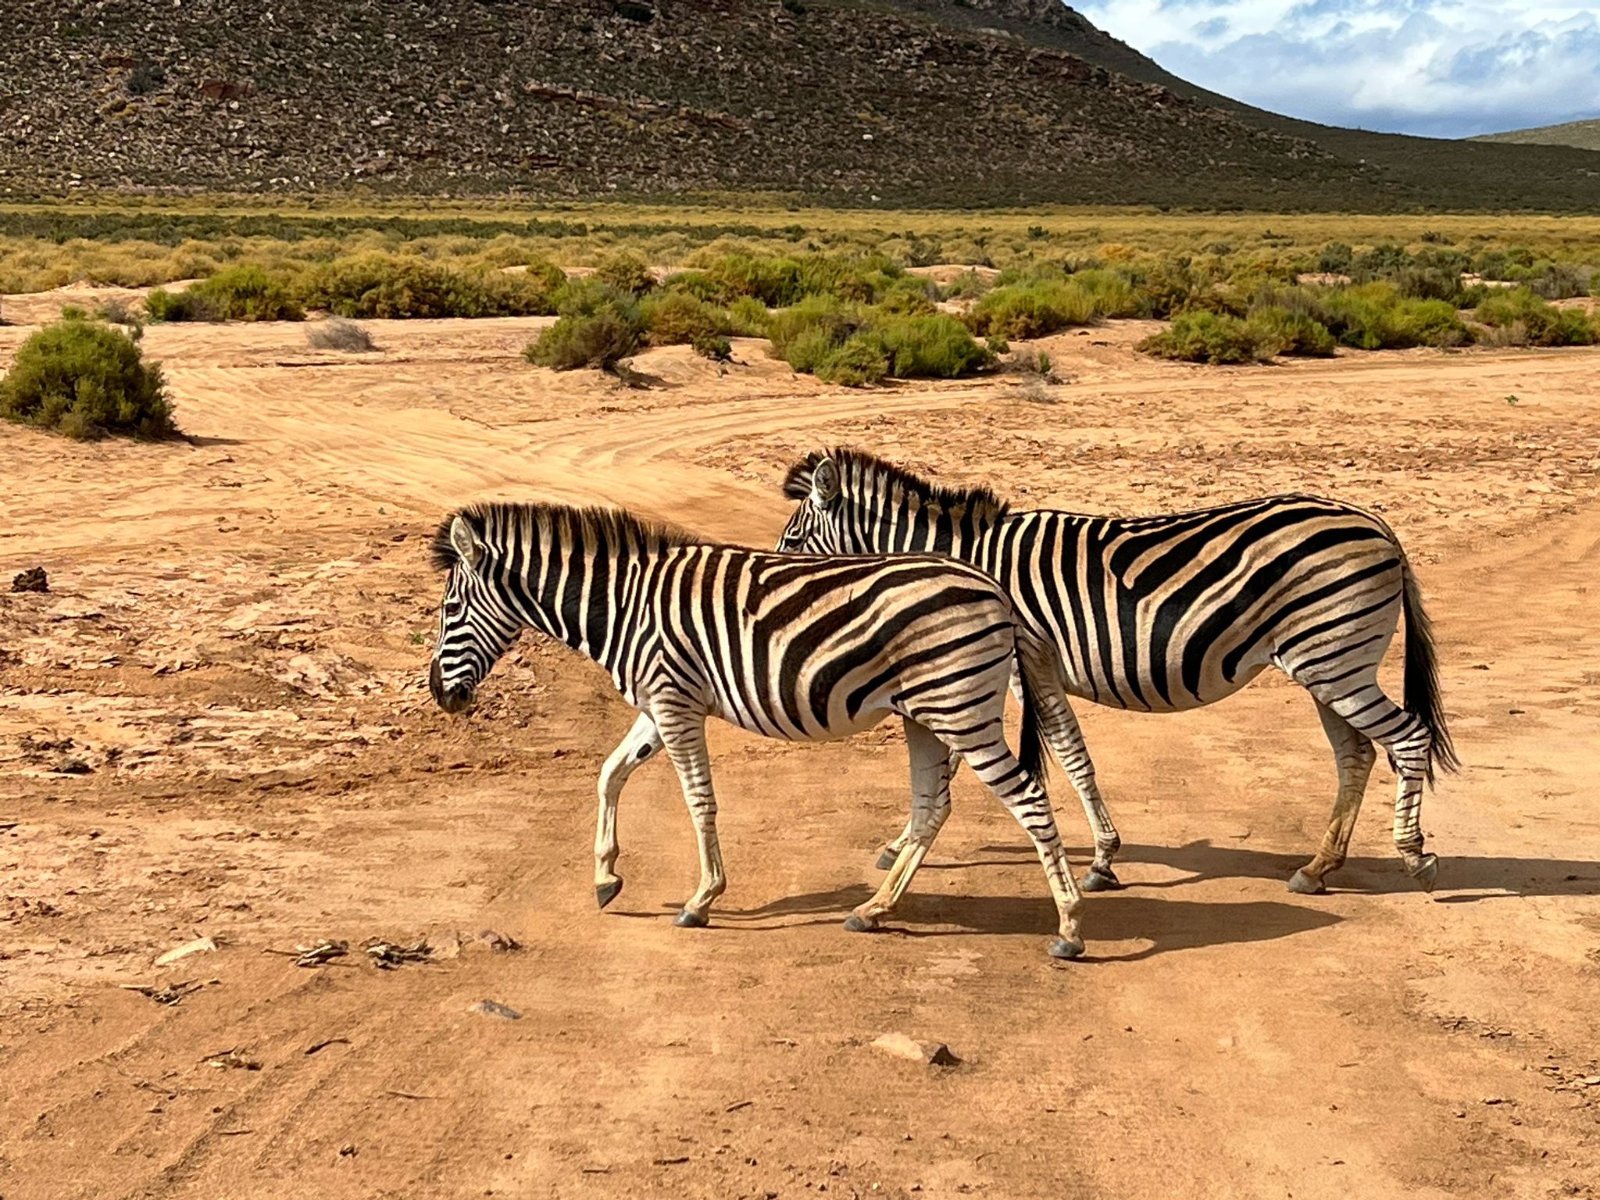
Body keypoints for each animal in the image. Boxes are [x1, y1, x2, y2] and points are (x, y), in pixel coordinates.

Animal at [427, 500, 1092, 959]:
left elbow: (699, 800)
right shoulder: (658, 702)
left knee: (1030, 799)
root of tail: (997, 590)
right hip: (925, 714)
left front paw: (701, 899)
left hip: (961, 709)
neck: (626, 605)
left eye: (450, 610)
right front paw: (605, 877)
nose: (439, 695)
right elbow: (609, 774)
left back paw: (1068, 925)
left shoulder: (673, 700)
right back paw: (874, 909)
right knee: (933, 807)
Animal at [776, 448, 1458, 897]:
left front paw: (1099, 858)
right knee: (1357, 754)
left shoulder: (1019, 663)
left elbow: (1050, 755)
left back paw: (1415, 857)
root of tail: (1379, 524)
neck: (971, 562)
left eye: (792, 543)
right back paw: (1319, 867)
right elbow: (1058, 753)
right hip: (1327, 662)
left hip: (1335, 660)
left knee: (1406, 737)